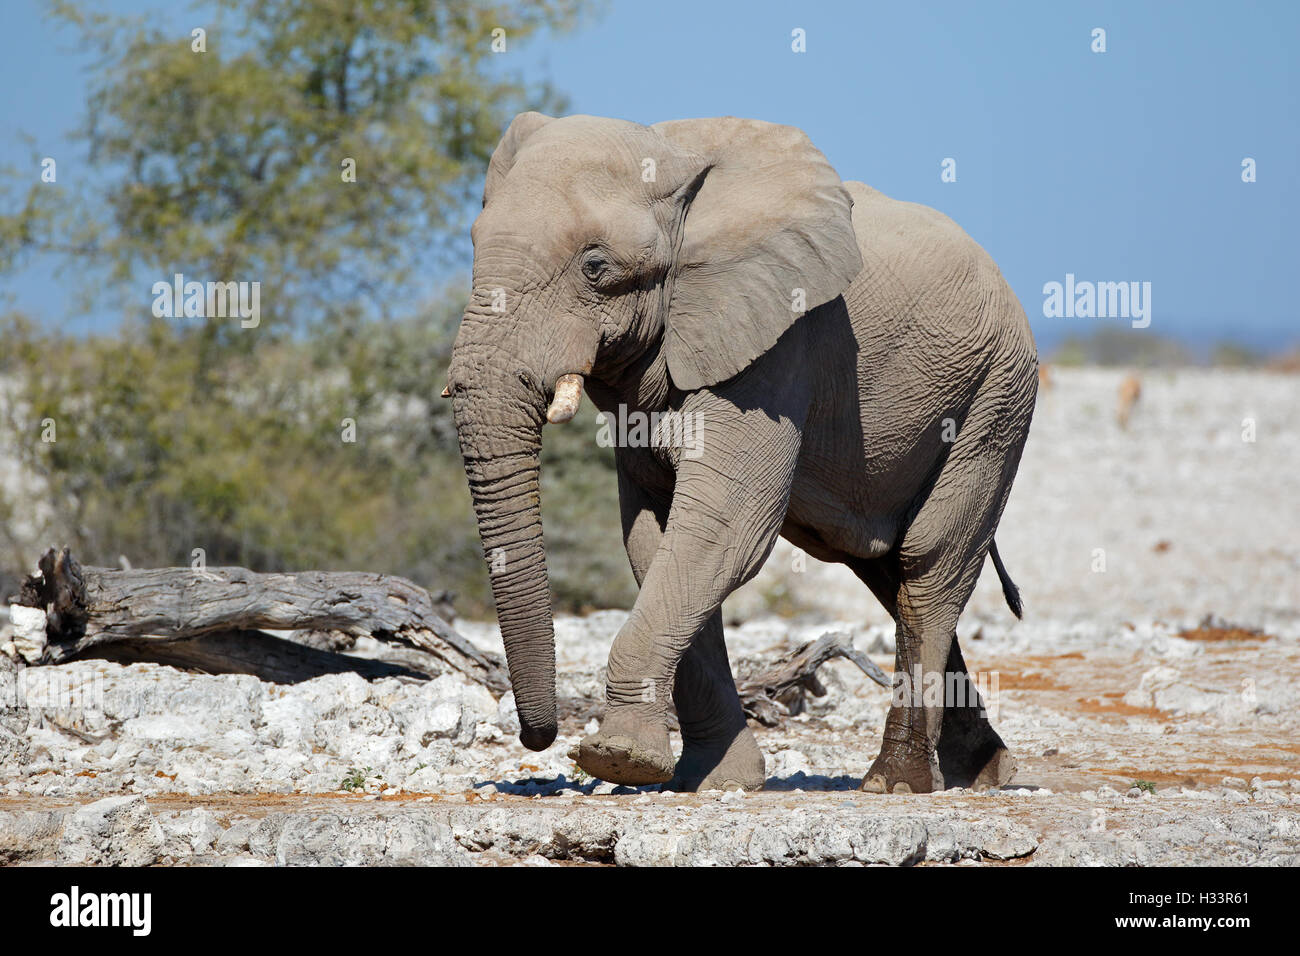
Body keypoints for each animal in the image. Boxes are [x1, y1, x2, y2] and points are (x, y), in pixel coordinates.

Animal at [446, 113, 1038, 794]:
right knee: (889, 570)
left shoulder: (780, 342)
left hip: (997, 398)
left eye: (595, 267)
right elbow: (654, 538)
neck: (671, 157)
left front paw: (616, 758)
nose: (538, 738)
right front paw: (712, 779)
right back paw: (985, 770)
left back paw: (897, 782)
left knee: (929, 563)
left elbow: (724, 528)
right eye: (473, 244)